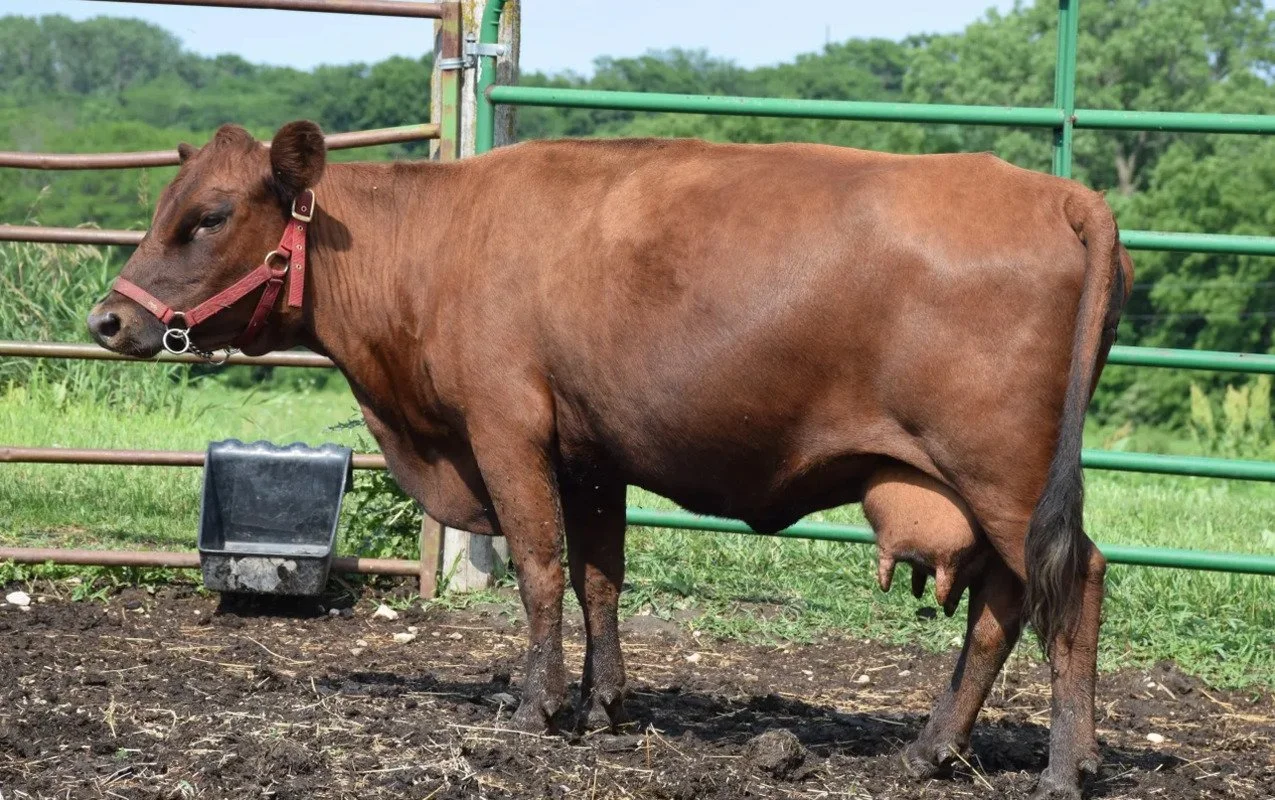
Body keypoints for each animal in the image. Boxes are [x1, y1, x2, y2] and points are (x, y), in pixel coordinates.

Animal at [87, 121, 1132, 799]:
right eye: (168, 205)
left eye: (209, 215)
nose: (108, 320)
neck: (433, 243)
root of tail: (1057, 192)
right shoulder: (591, 455)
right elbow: (599, 578)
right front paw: (604, 706)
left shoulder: (506, 429)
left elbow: (541, 569)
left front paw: (534, 708)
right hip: (988, 485)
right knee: (1003, 604)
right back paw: (929, 750)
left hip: (1005, 474)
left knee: (1071, 582)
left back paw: (1062, 765)